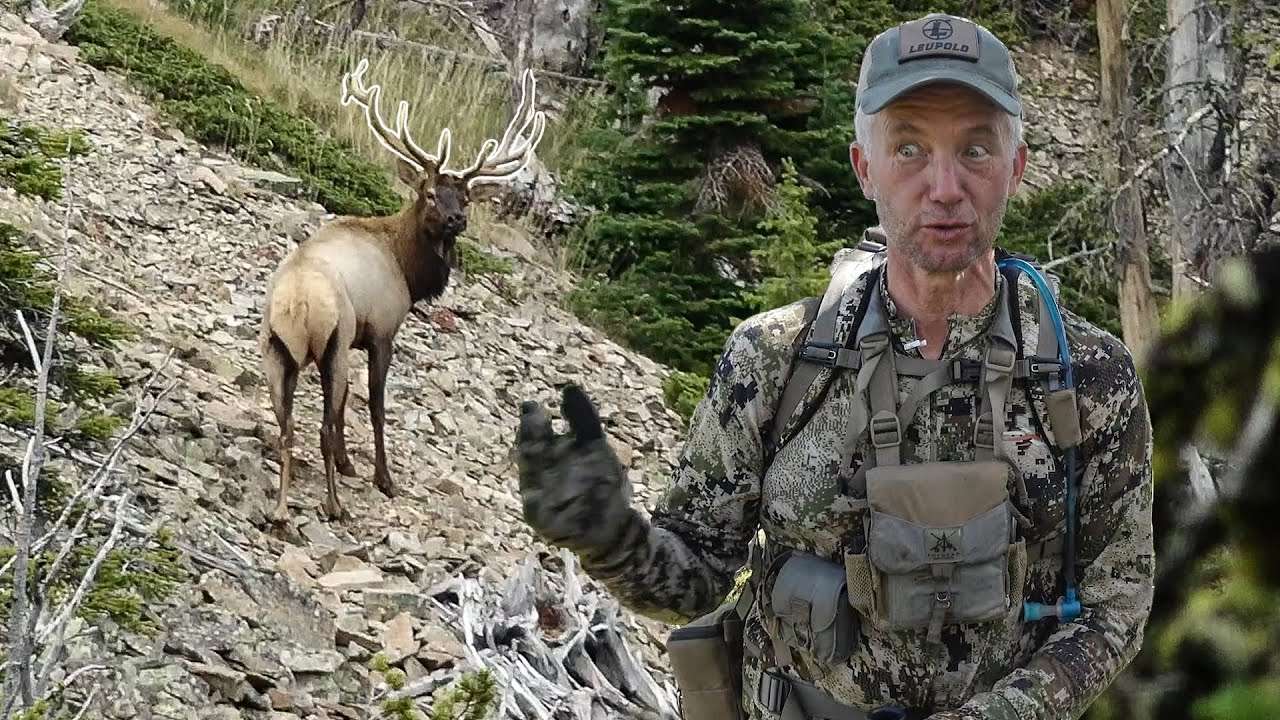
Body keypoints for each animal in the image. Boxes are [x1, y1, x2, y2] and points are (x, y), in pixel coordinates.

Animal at [259, 57, 547, 524]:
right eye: (429, 193)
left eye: (465, 198)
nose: (456, 220)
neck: (407, 269)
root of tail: (298, 304)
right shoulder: (380, 332)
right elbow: (375, 407)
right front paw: (383, 478)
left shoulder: (356, 337)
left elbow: (346, 406)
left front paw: (348, 462)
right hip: (332, 344)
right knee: (320, 425)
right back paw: (334, 504)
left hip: (276, 348)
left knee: (287, 426)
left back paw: (283, 508)